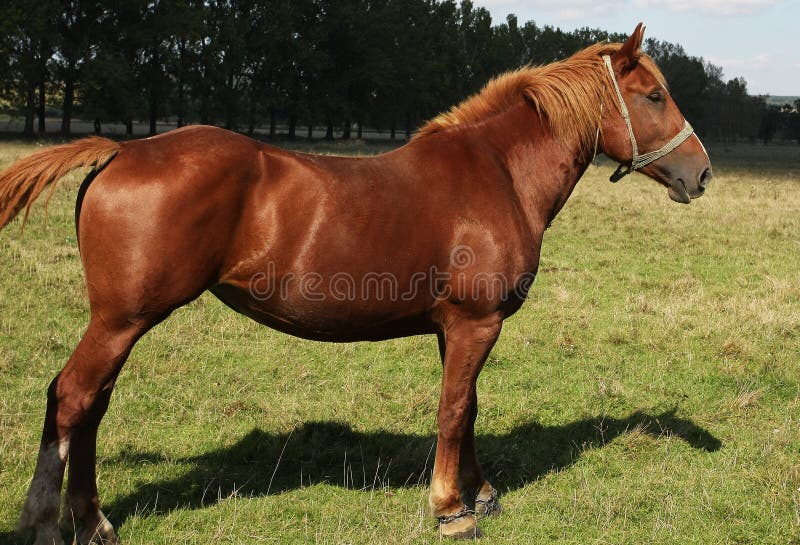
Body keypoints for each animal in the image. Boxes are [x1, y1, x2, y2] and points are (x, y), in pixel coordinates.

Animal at [0, 24, 711, 543]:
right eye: (654, 96)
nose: (700, 173)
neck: (499, 173)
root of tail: (122, 150)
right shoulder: (475, 322)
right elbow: (453, 410)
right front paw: (450, 509)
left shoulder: (456, 329)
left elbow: (469, 408)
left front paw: (480, 493)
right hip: (121, 320)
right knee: (73, 398)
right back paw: (47, 521)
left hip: (122, 324)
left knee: (91, 405)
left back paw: (91, 521)